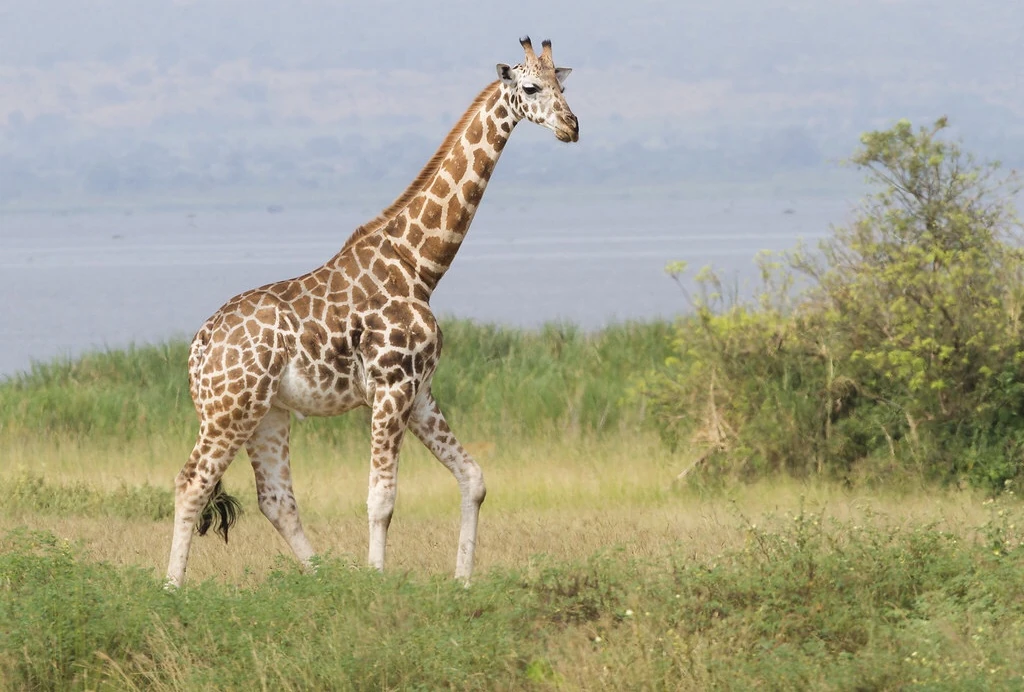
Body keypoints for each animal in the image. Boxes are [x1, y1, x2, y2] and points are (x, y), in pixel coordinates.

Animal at [164, 37, 579, 588]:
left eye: (563, 85)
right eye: (531, 87)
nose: (572, 125)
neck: (419, 265)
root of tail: (198, 348)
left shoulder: (420, 390)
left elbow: (474, 479)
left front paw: (462, 581)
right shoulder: (390, 388)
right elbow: (381, 499)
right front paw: (378, 581)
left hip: (268, 413)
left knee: (276, 500)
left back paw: (324, 579)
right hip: (230, 409)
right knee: (191, 483)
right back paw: (172, 587)